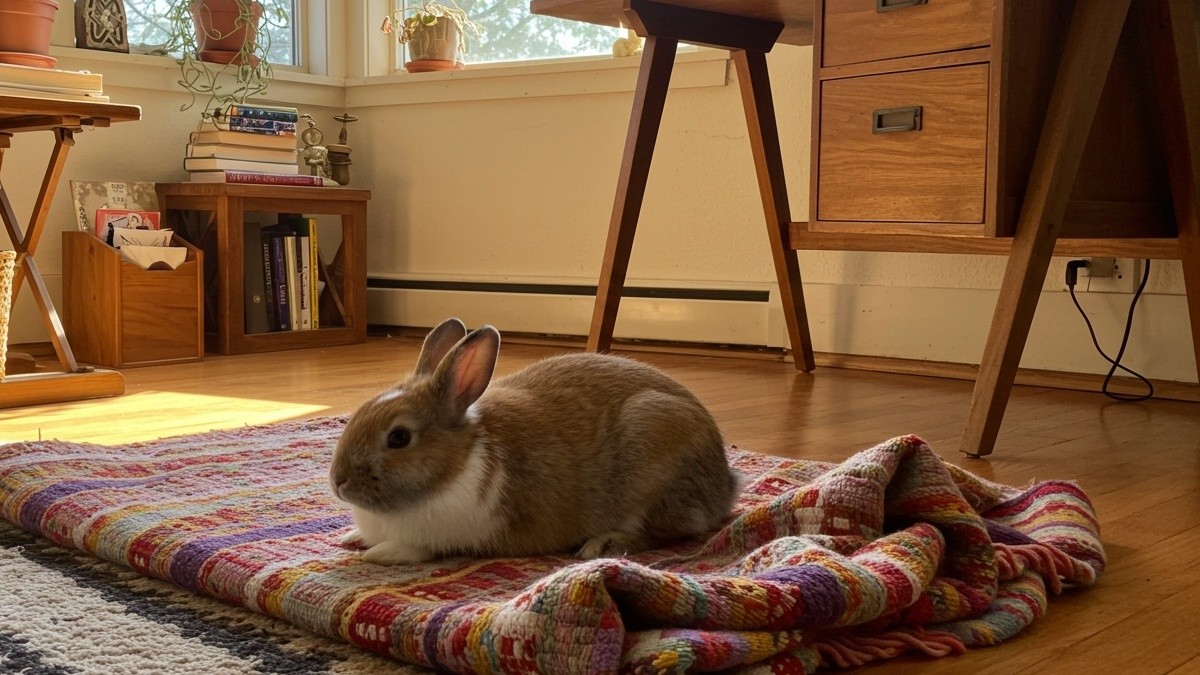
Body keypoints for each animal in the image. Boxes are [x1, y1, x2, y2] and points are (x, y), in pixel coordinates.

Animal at [329, 318, 738, 565]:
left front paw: (377, 554)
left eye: (398, 437)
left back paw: (604, 544)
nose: (338, 482)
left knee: (666, 531)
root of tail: (726, 484)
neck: (457, 463)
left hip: (653, 468)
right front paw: (352, 538)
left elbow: (415, 548)